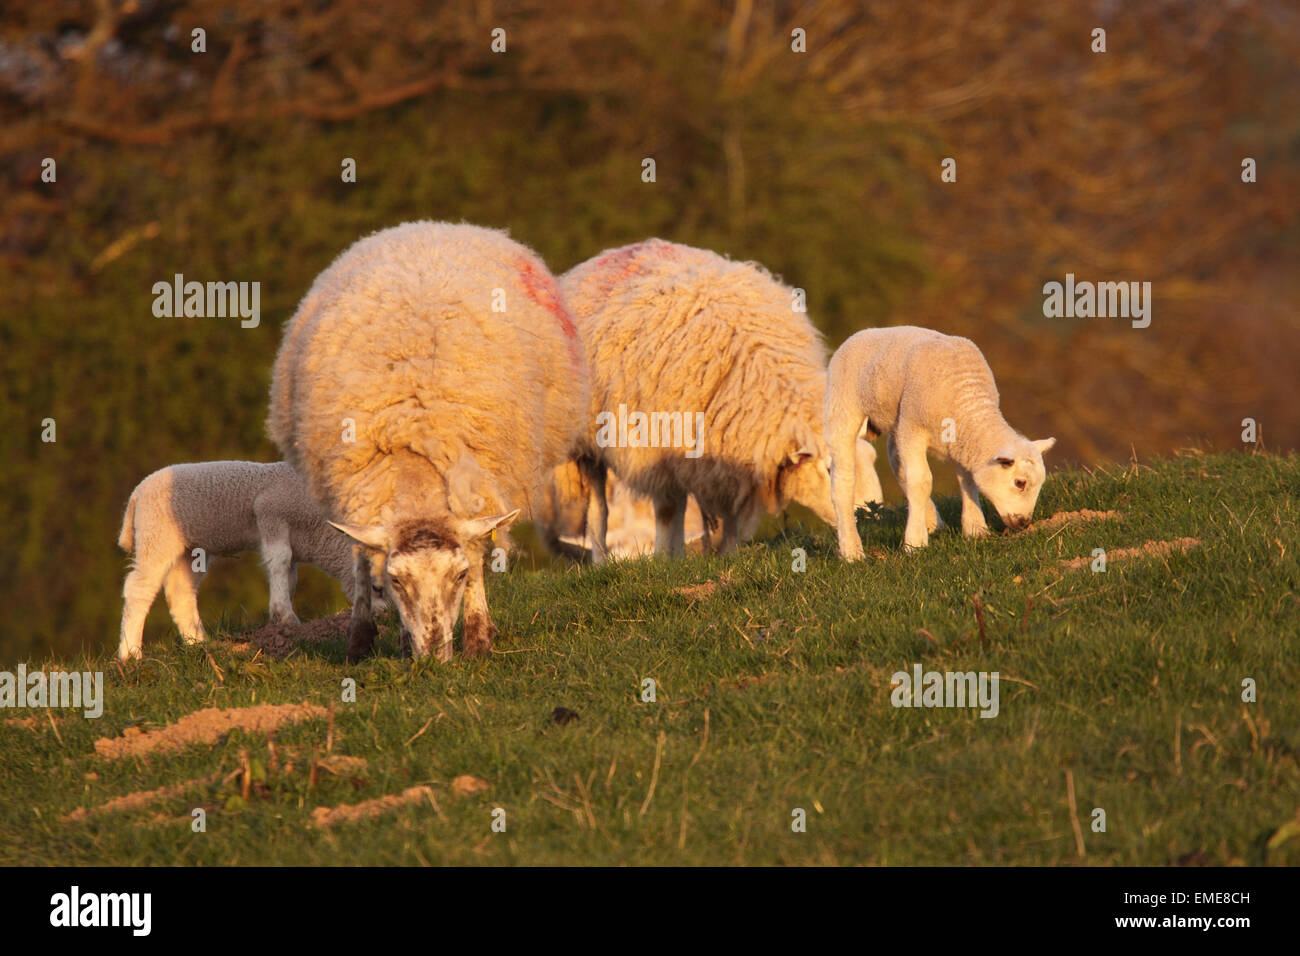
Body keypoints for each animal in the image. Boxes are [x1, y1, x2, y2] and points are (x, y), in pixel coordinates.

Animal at [116, 460, 386, 661]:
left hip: (190, 549)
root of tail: (137, 494)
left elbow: (289, 576)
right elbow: (279, 560)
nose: (384, 615)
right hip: (157, 534)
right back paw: (130, 654)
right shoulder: (271, 513)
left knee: (180, 591)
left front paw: (279, 622)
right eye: (375, 587)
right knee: (139, 588)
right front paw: (286, 617)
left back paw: (199, 644)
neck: (319, 532)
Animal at [268, 221, 589, 662]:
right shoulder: (359, 494)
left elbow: (476, 551)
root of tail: (434, 226)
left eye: (459, 575)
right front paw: (362, 639)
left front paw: (478, 638)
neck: (415, 439)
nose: (433, 655)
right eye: (395, 582)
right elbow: (362, 562)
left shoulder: (473, 486)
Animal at [557, 239, 882, 559]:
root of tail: (624, 248)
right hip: (588, 442)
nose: (874, 517)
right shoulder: (657, 448)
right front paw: (661, 558)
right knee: (600, 507)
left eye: (872, 458)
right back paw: (604, 560)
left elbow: (728, 513)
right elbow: (665, 509)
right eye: (828, 469)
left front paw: (728, 555)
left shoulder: (727, 455)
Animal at [825, 325, 1056, 557]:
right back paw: (851, 550)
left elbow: (967, 479)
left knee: (897, 462)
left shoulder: (961, 443)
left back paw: (931, 520)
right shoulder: (913, 429)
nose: (1023, 522)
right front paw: (915, 543)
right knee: (843, 479)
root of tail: (865, 332)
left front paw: (975, 528)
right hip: (843, 409)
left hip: (895, 421)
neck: (966, 401)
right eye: (1020, 482)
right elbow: (921, 481)